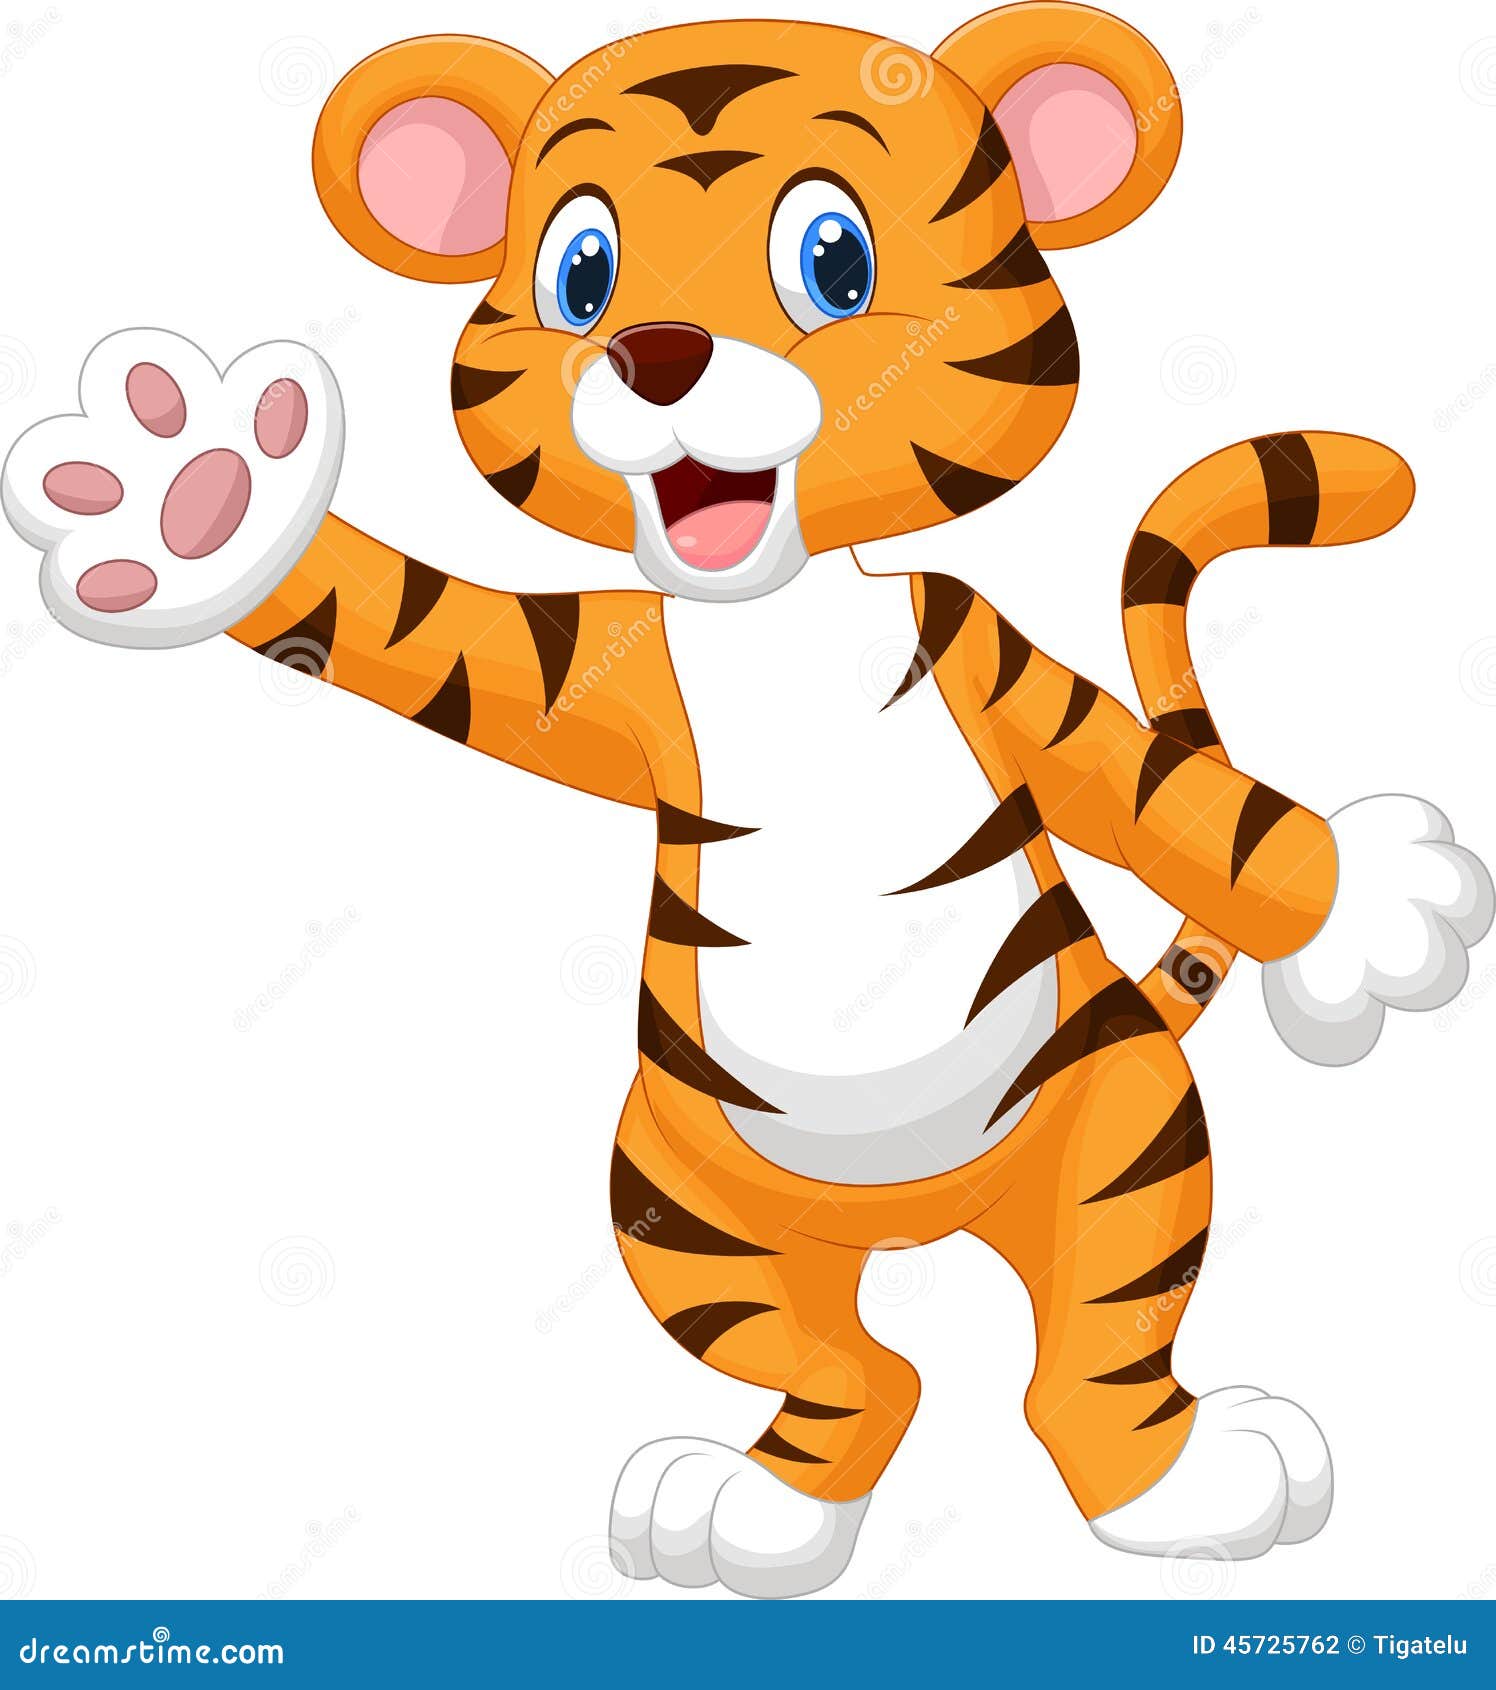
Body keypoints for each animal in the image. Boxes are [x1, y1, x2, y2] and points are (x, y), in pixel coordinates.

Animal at [4, 4, 1491, 1599]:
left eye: (834, 259)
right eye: (580, 271)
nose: (655, 352)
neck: (774, 615)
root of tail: (912, 1218)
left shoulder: (986, 652)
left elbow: (1168, 791)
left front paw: (1373, 903)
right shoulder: (598, 668)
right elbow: (407, 619)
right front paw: (198, 511)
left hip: (1119, 1125)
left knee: (1084, 1353)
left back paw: (1180, 1489)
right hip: (682, 1208)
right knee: (858, 1372)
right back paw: (754, 1505)